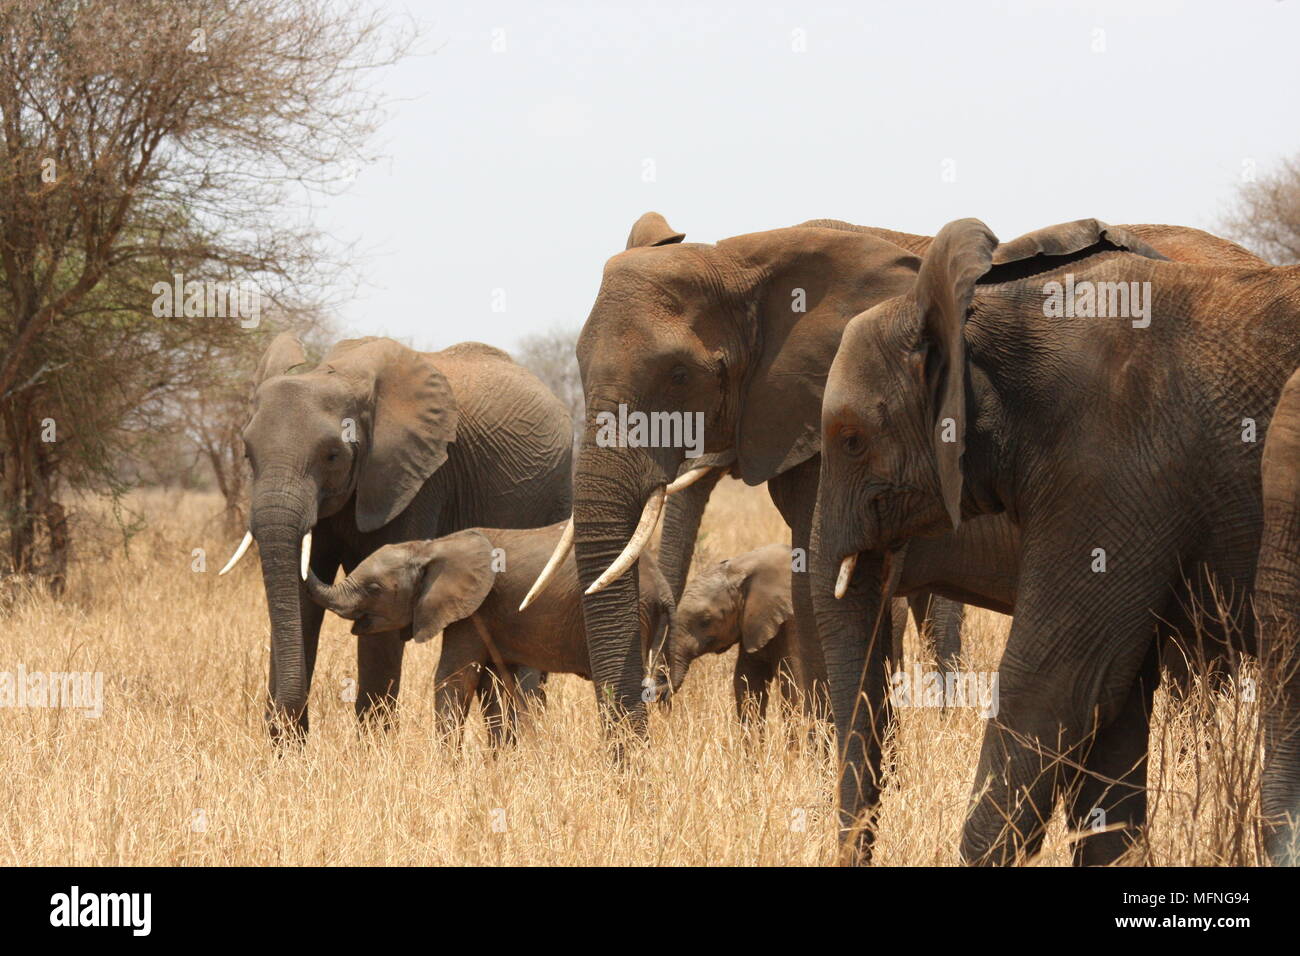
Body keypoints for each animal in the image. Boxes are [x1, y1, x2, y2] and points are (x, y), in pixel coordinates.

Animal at [223, 334, 573, 741]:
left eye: (332, 455)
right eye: (248, 454)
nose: (281, 730)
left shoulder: (416, 477)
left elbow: (383, 609)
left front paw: (373, 749)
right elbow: (300, 603)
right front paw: (289, 750)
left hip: (556, 491)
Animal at [303, 523, 674, 743]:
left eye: (374, 588)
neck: (430, 547)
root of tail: (663, 588)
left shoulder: (473, 612)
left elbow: (454, 678)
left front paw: (449, 771)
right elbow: (494, 687)